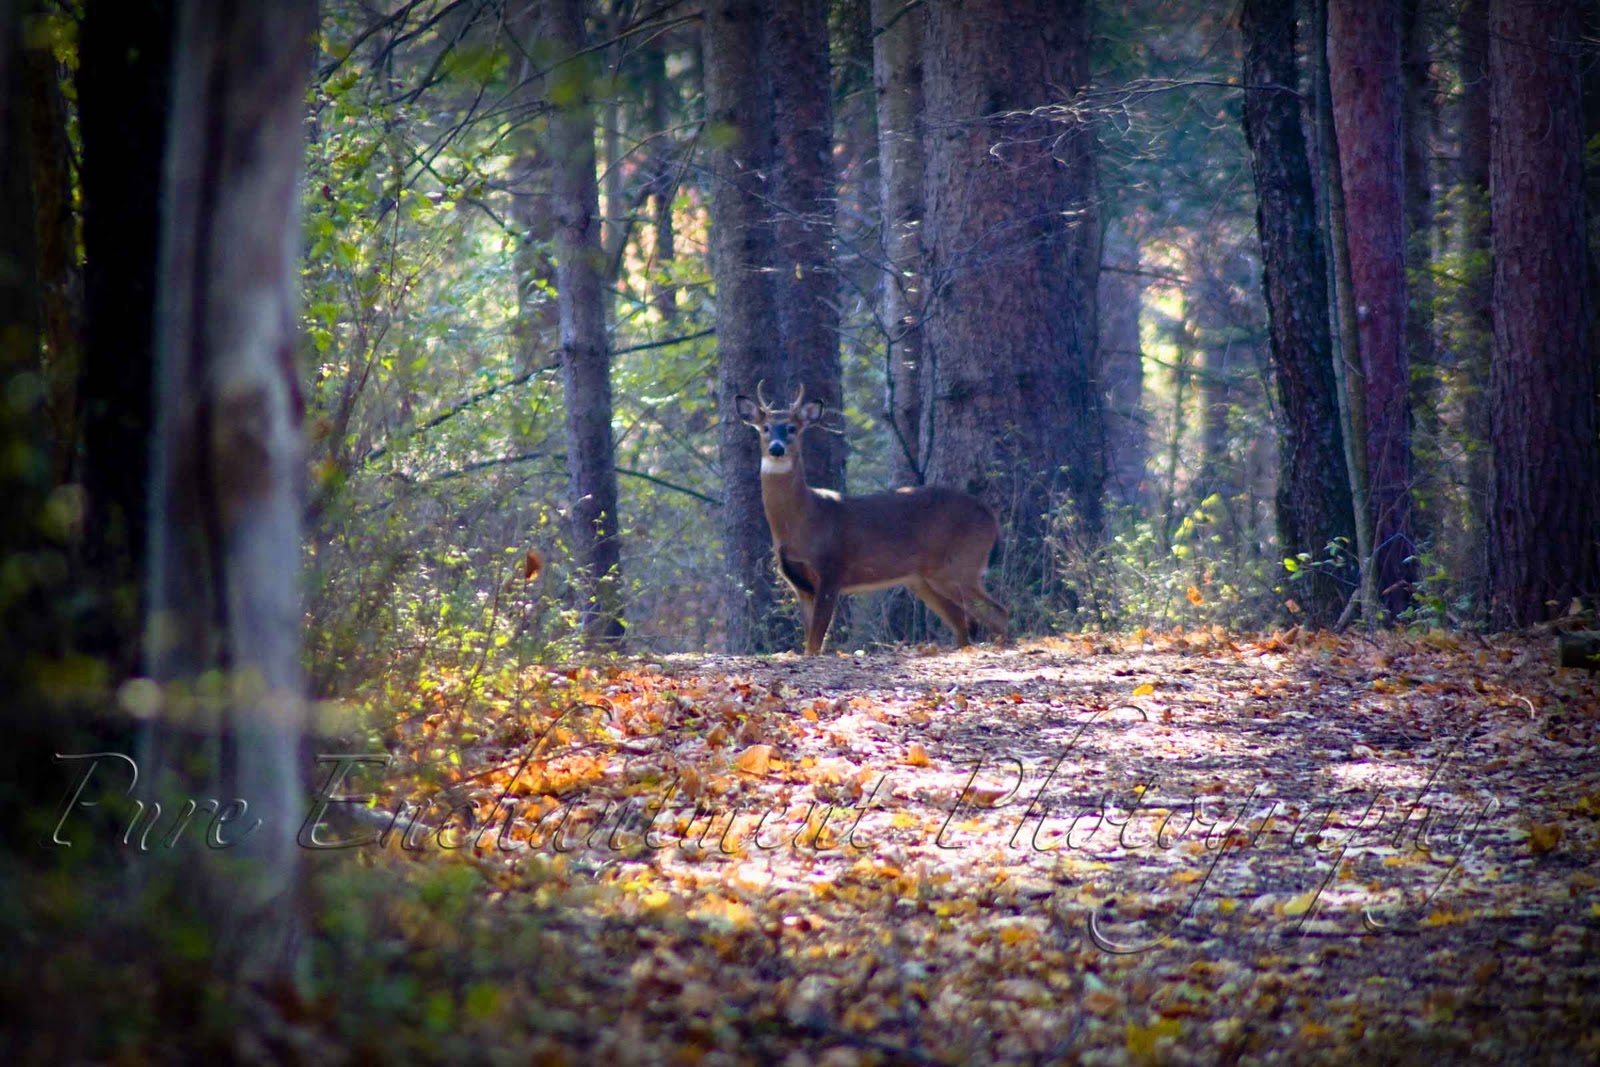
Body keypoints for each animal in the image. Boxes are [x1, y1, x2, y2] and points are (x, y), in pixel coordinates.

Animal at [734, 384, 1008, 655]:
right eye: (765, 427)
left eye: (792, 427)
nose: (776, 448)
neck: (803, 519)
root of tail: (990, 516)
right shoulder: (800, 583)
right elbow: (809, 641)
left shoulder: (832, 568)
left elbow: (815, 643)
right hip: (924, 579)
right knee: (963, 623)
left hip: (960, 564)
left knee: (997, 613)